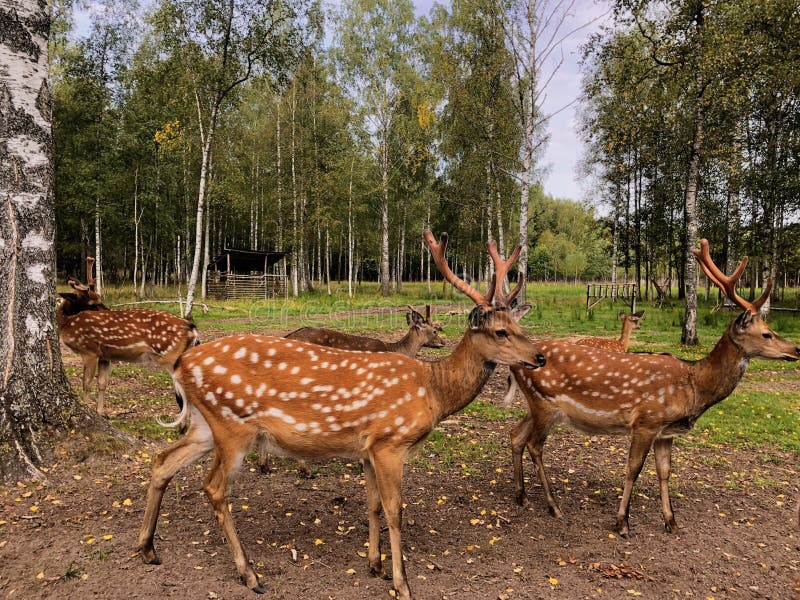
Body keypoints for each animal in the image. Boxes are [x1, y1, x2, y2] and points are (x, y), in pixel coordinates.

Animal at [57, 258, 200, 416]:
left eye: (98, 299)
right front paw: (101, 413)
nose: (109, 311)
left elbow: (86, 384)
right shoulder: (104, 356)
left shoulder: (89, 351)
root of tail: (192, 328)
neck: (66, 323)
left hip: (170, 354)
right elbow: (102, 383)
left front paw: (88, 410)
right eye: (92, 303)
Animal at [508, 239, 799, 537]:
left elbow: (664, 472)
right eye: (766, 334)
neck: (693, 386)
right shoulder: (646, 421)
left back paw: (521, 495)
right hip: (545, 403)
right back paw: (553, 505)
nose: (796, 349)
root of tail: (516, 364)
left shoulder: (665, 432)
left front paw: (671, 521)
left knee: (515, 434)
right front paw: (622, 522)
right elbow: (633, 469)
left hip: (537, 405)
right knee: (534, 445)